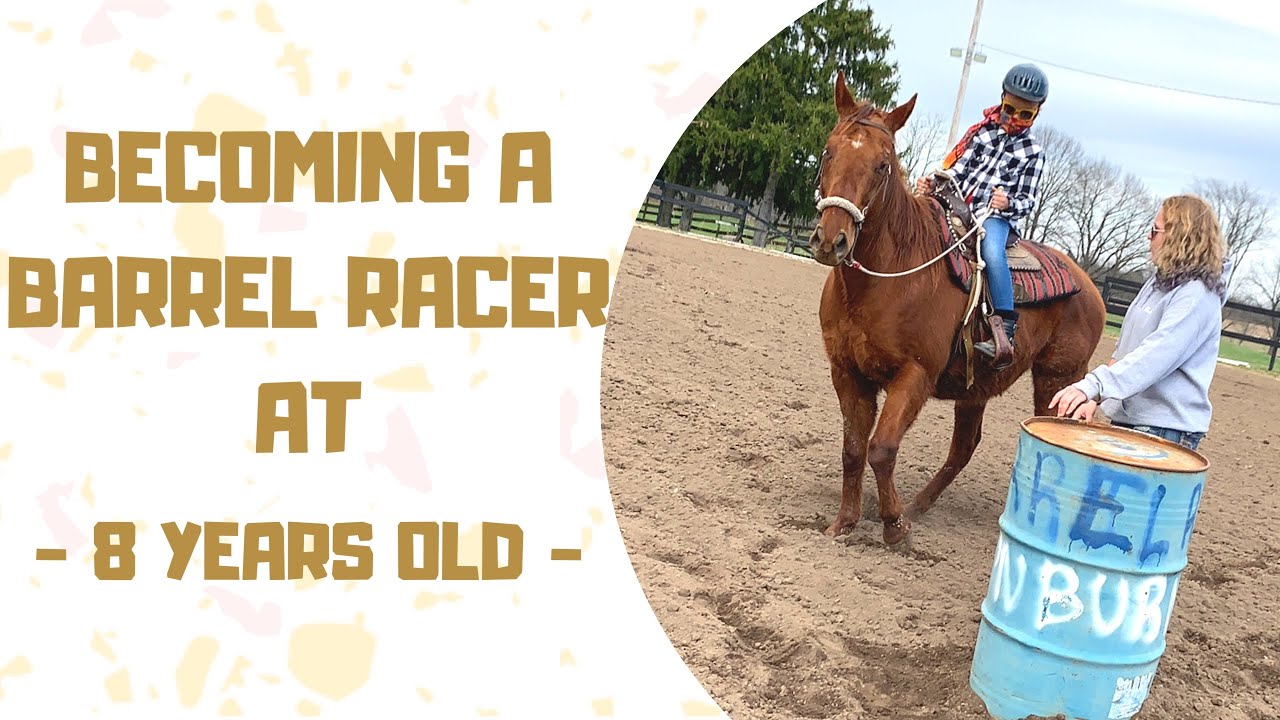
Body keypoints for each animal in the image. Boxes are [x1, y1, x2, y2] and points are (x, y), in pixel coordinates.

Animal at [809, 72, 1106, 546]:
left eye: (883, 164)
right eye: (828, 150)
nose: (831, 240)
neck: (886, 278)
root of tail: (1089, 286)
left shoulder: (914, 375)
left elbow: (882, 448)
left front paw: (895, 527)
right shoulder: (847, 372)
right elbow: (853, 449)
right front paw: (846, 523)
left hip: (1058, 376)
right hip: (977, 389)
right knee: (964, 447)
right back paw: (919, 504)